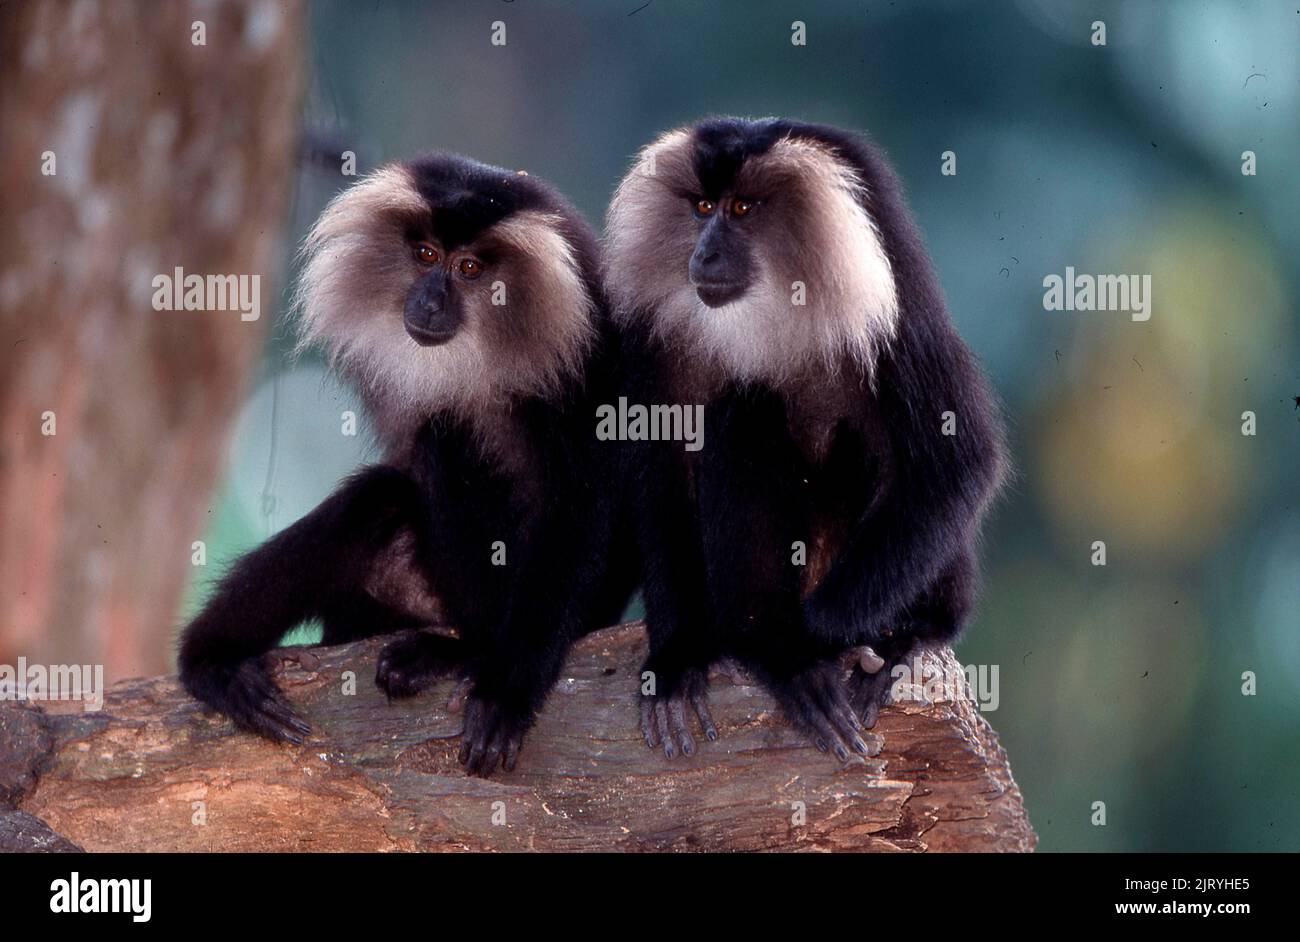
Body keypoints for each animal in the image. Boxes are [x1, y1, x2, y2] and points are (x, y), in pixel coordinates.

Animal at [178, 153, 636, 776]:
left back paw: (462, 649)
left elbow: (577, 514)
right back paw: (213, 662)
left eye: (469, 268)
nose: (430, 301)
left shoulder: (590, 364)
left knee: (443, 440)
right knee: (378, 496)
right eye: (424, 255)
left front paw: (507, 695)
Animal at [604, 117, 1009, 761]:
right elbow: (662, 469)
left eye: (741, 209)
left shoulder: (896, 310)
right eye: (702, 207)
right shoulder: (662, 343)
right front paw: (681, 656)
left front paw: (813, 644)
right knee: (743, 407)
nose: (704, 252)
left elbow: (957, 460)